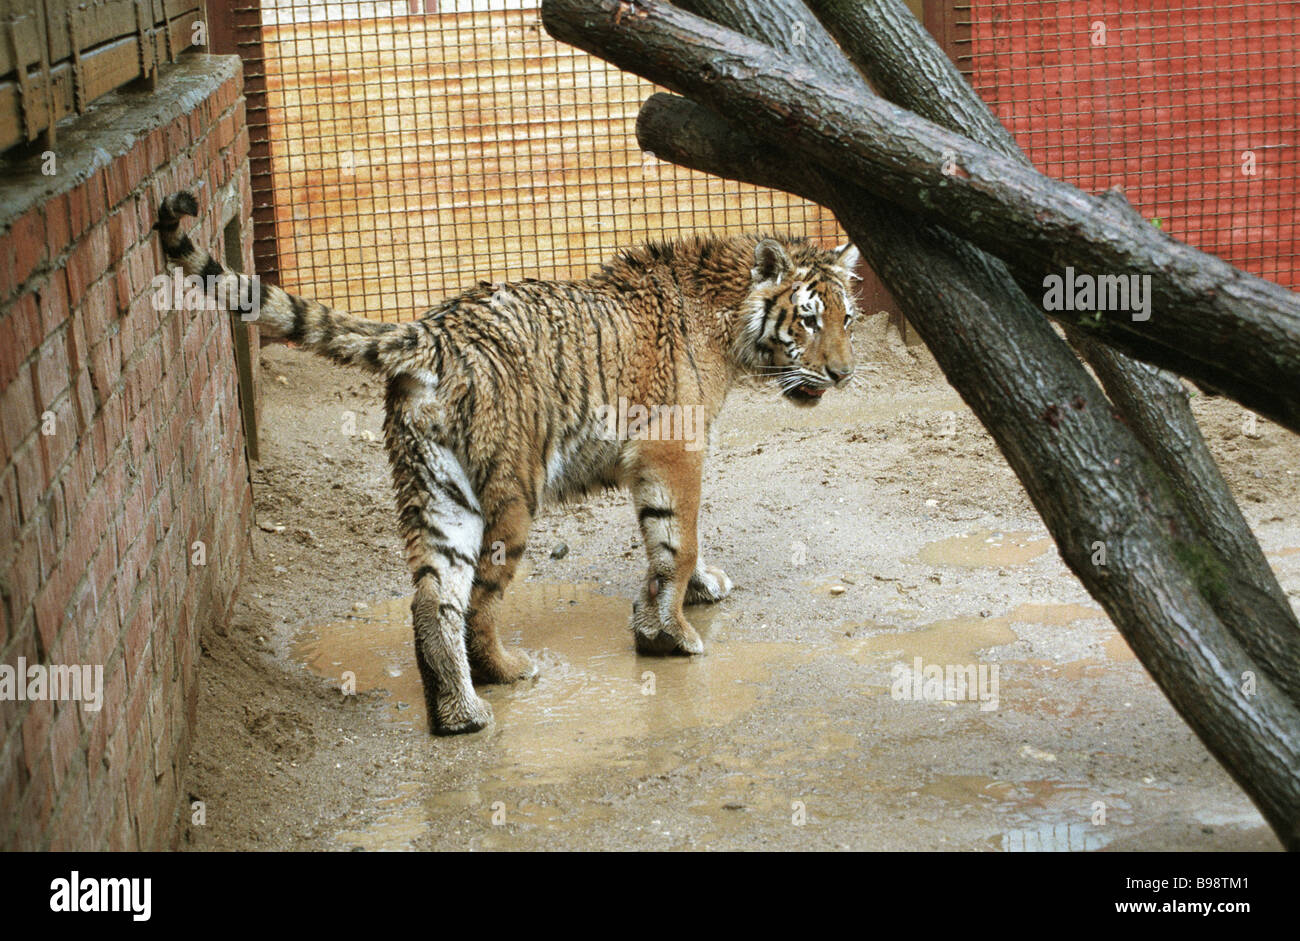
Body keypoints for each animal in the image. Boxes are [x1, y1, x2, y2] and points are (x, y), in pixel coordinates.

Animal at [156, 190, 859, 735]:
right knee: (478, 601)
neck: (730, 323)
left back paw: (459, 715)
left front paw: (695, 592)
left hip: (437, 492)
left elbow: (680, 538)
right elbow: (675, 542)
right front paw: (669, 634)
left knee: (431, 598)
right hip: (513, 494)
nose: (844, 375)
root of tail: (430, 332)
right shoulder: (674, 449)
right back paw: (504, 672)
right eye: (808, 319)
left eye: (848, 319)